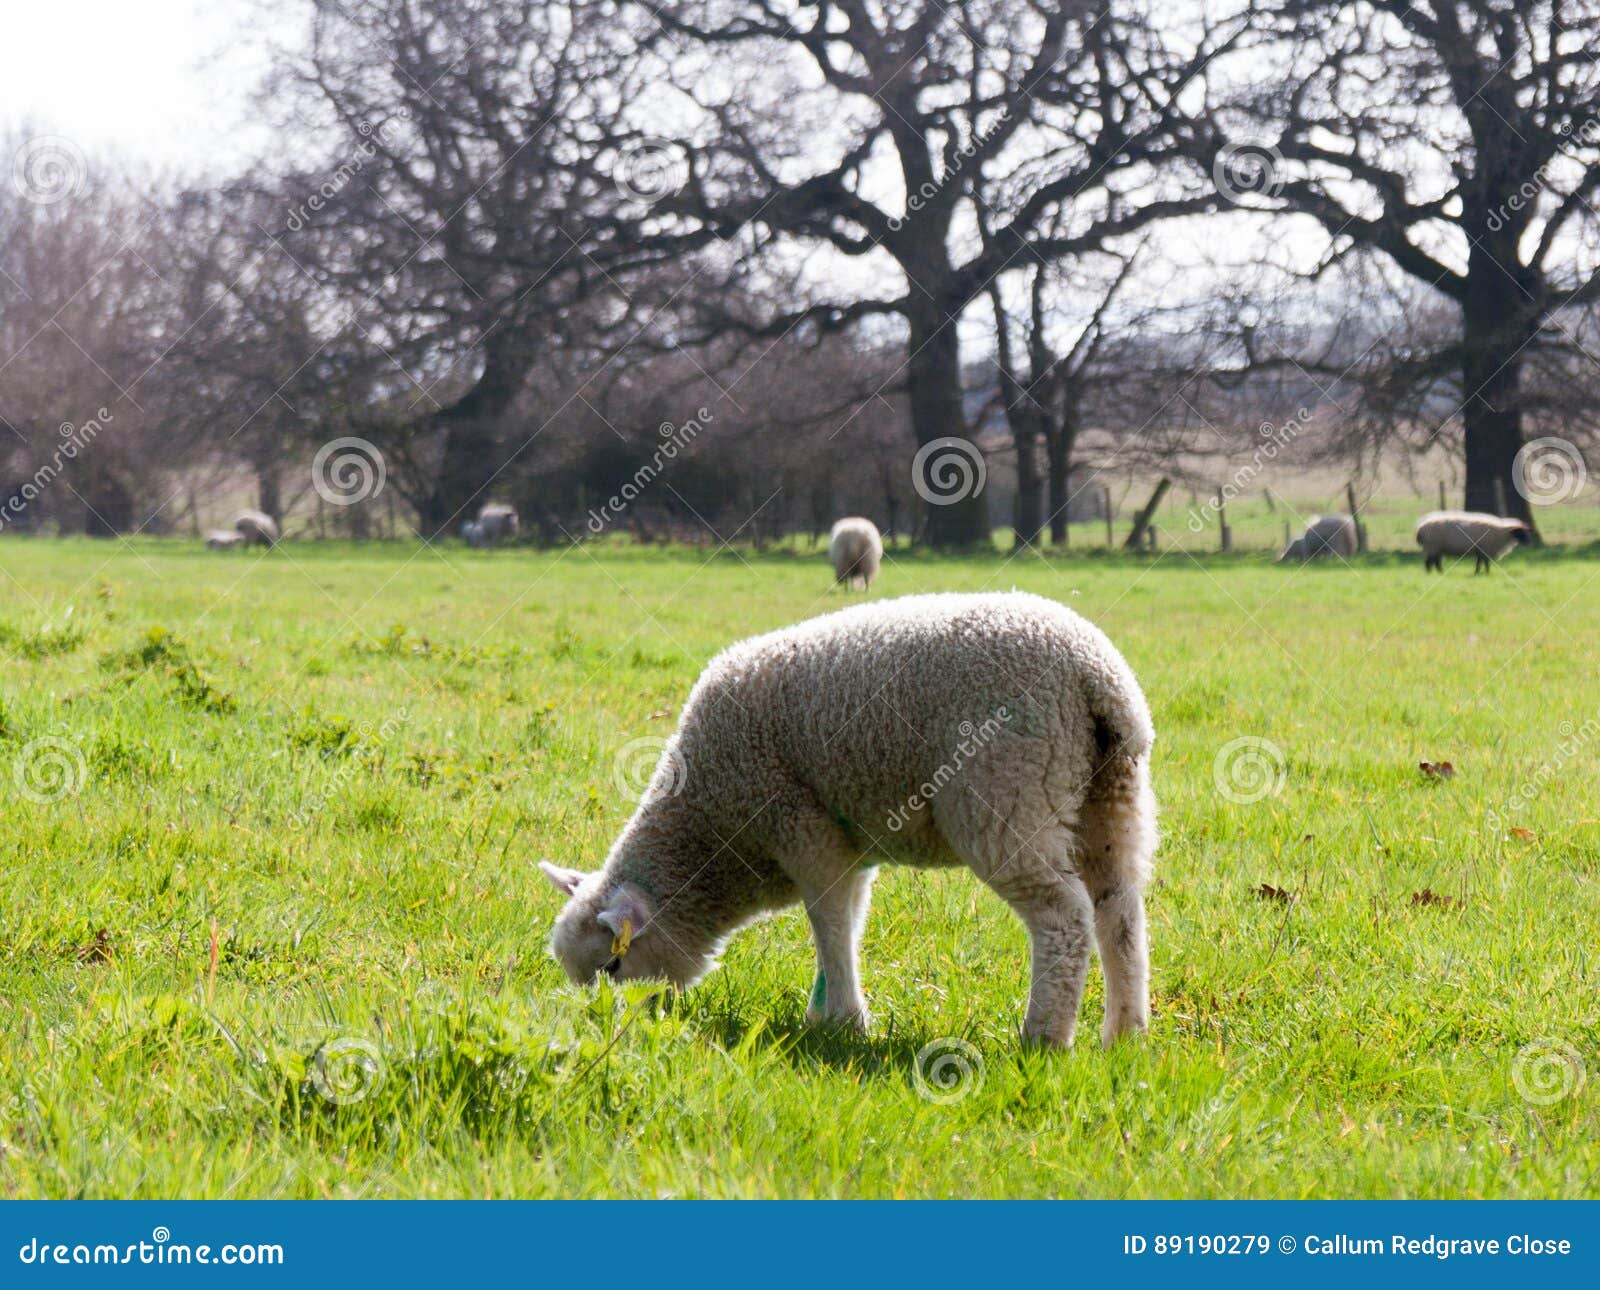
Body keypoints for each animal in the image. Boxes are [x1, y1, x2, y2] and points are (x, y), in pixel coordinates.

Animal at [539, 591, 1157, 1049]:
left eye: (612, 968)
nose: (610, 1027)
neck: (708, 826)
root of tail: (1098, 678)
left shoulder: (799, 825)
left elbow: (829, 922)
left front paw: (844, 1022)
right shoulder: (847, 841)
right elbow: (851, 919)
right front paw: (826, 1014)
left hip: (1009, 791)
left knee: (1064, 916)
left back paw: (1043, 1037)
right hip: (1108, 797)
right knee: (1120, 911)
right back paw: (1124, 1037)